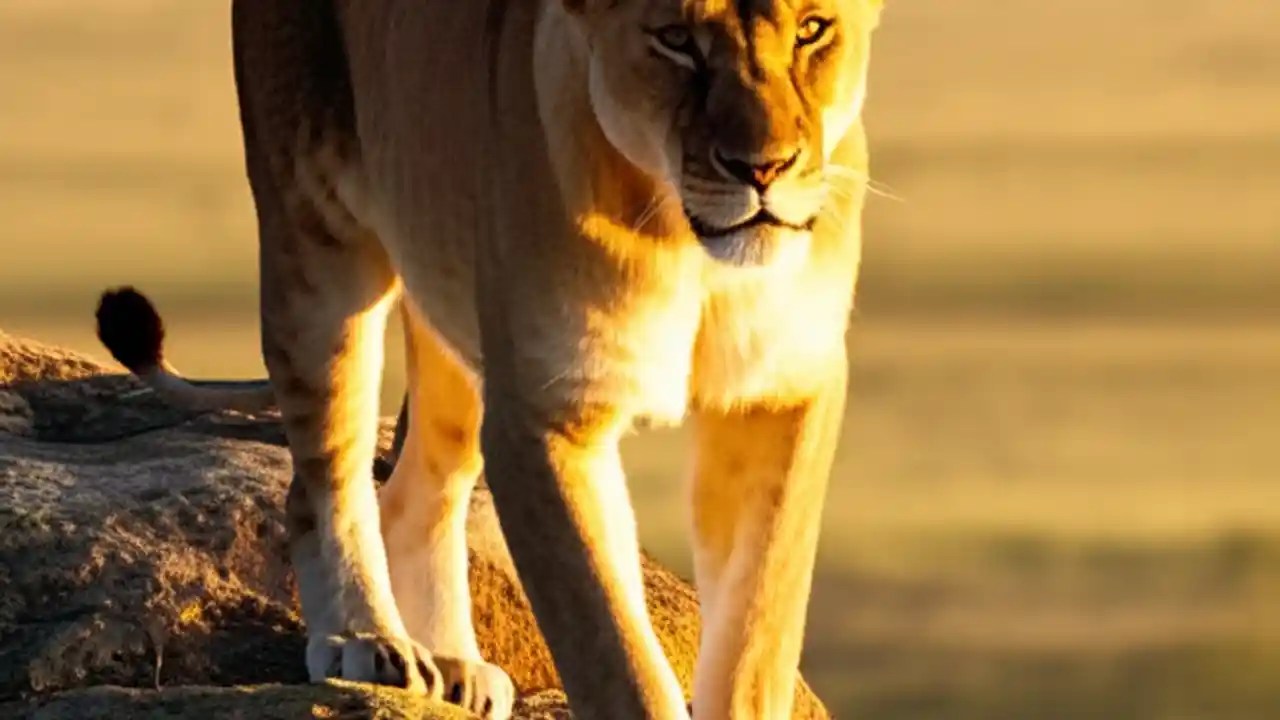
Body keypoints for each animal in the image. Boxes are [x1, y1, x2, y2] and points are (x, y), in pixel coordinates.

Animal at [94, 1, 884, 717]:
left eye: (812, 29)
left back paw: (455, 664)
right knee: (326, 477)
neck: (693, 248)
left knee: (416, 492)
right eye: (676, 39)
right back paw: (366, 640)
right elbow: (612, 650)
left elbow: (758, 633)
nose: (763, 168)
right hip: (319, 239)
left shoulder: (784, 395)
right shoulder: (546, 414)